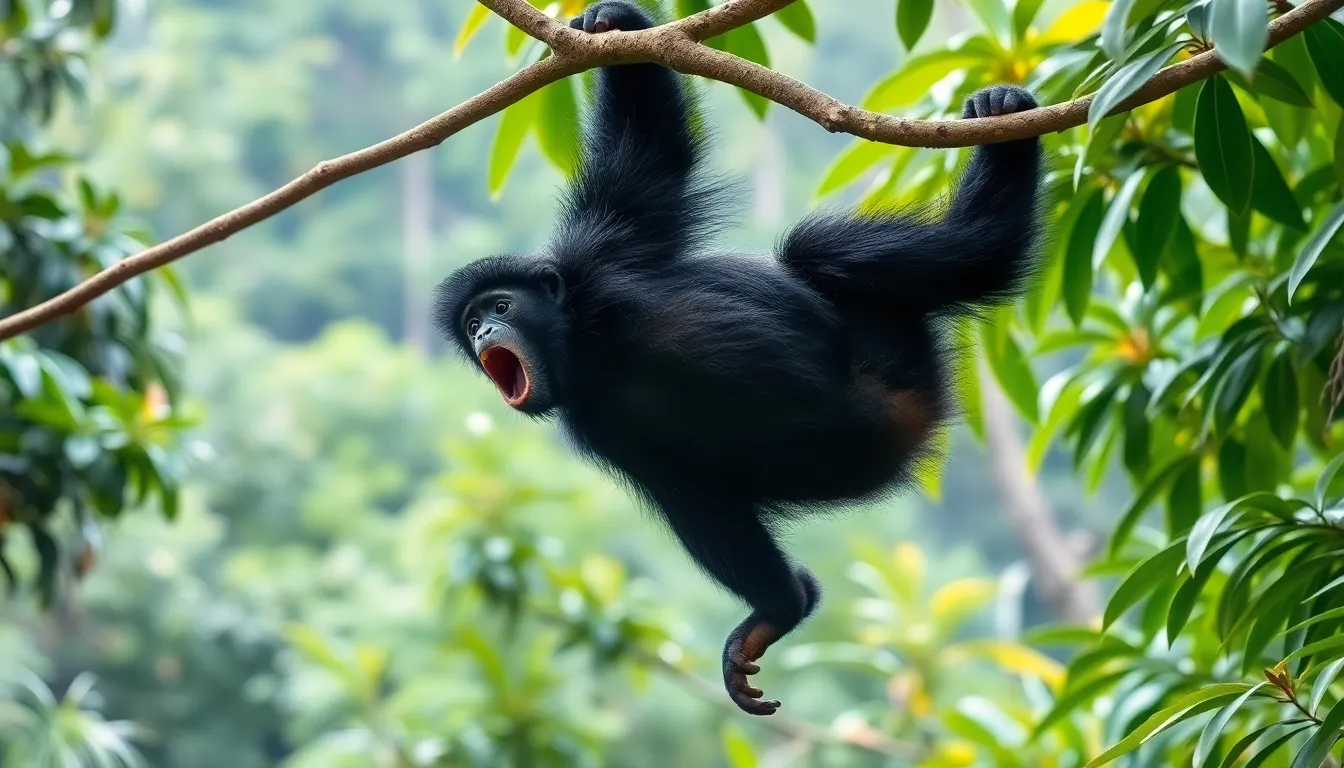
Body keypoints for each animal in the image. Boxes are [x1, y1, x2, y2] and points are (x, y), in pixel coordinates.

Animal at [433, 1, 1043, 716]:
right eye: (472, 323)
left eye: (500, 307)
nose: (482, 335)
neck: (587, 347)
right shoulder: (596, 423)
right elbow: (692, 492)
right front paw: (781, 606)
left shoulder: (603, 256)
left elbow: (649, 157)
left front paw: (616, 22)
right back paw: (784, 606)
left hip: (889, 354)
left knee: (855, 250)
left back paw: (1007, 154)